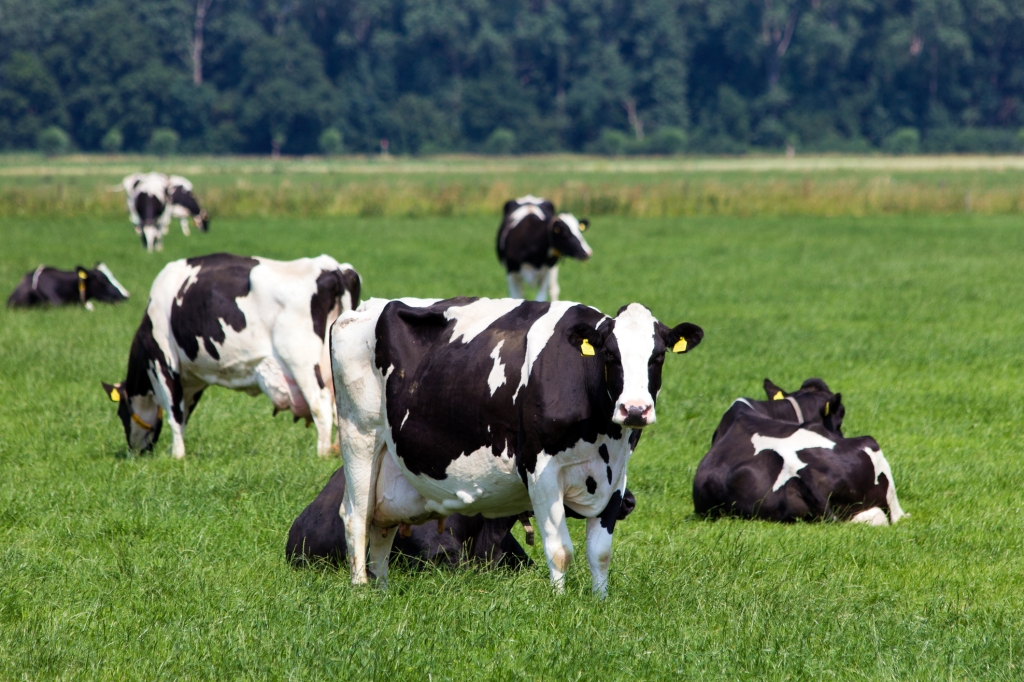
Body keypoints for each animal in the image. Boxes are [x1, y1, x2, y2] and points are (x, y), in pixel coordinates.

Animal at [101, 253, 361, 458]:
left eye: (121, 412)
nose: (134, 452)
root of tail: (333, 267)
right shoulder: (192, 379)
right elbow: (184, 414)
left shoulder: (164, 362)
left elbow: (175, 413)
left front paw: (176, 455)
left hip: (301, 363)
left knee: (321, 406)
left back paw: (322, 453)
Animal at [330, 296, 703, 596]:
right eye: (610, 355)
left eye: (658, 357)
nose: (635, 409)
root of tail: (362, 308)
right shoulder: (541, 469)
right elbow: (560, 550)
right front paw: (559, 602)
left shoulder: (616, 473)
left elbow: (600, 552)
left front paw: (600, 602)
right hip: (359, 436)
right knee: (356, 516)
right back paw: (361, 590)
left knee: (381, 525)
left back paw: (381, 590)